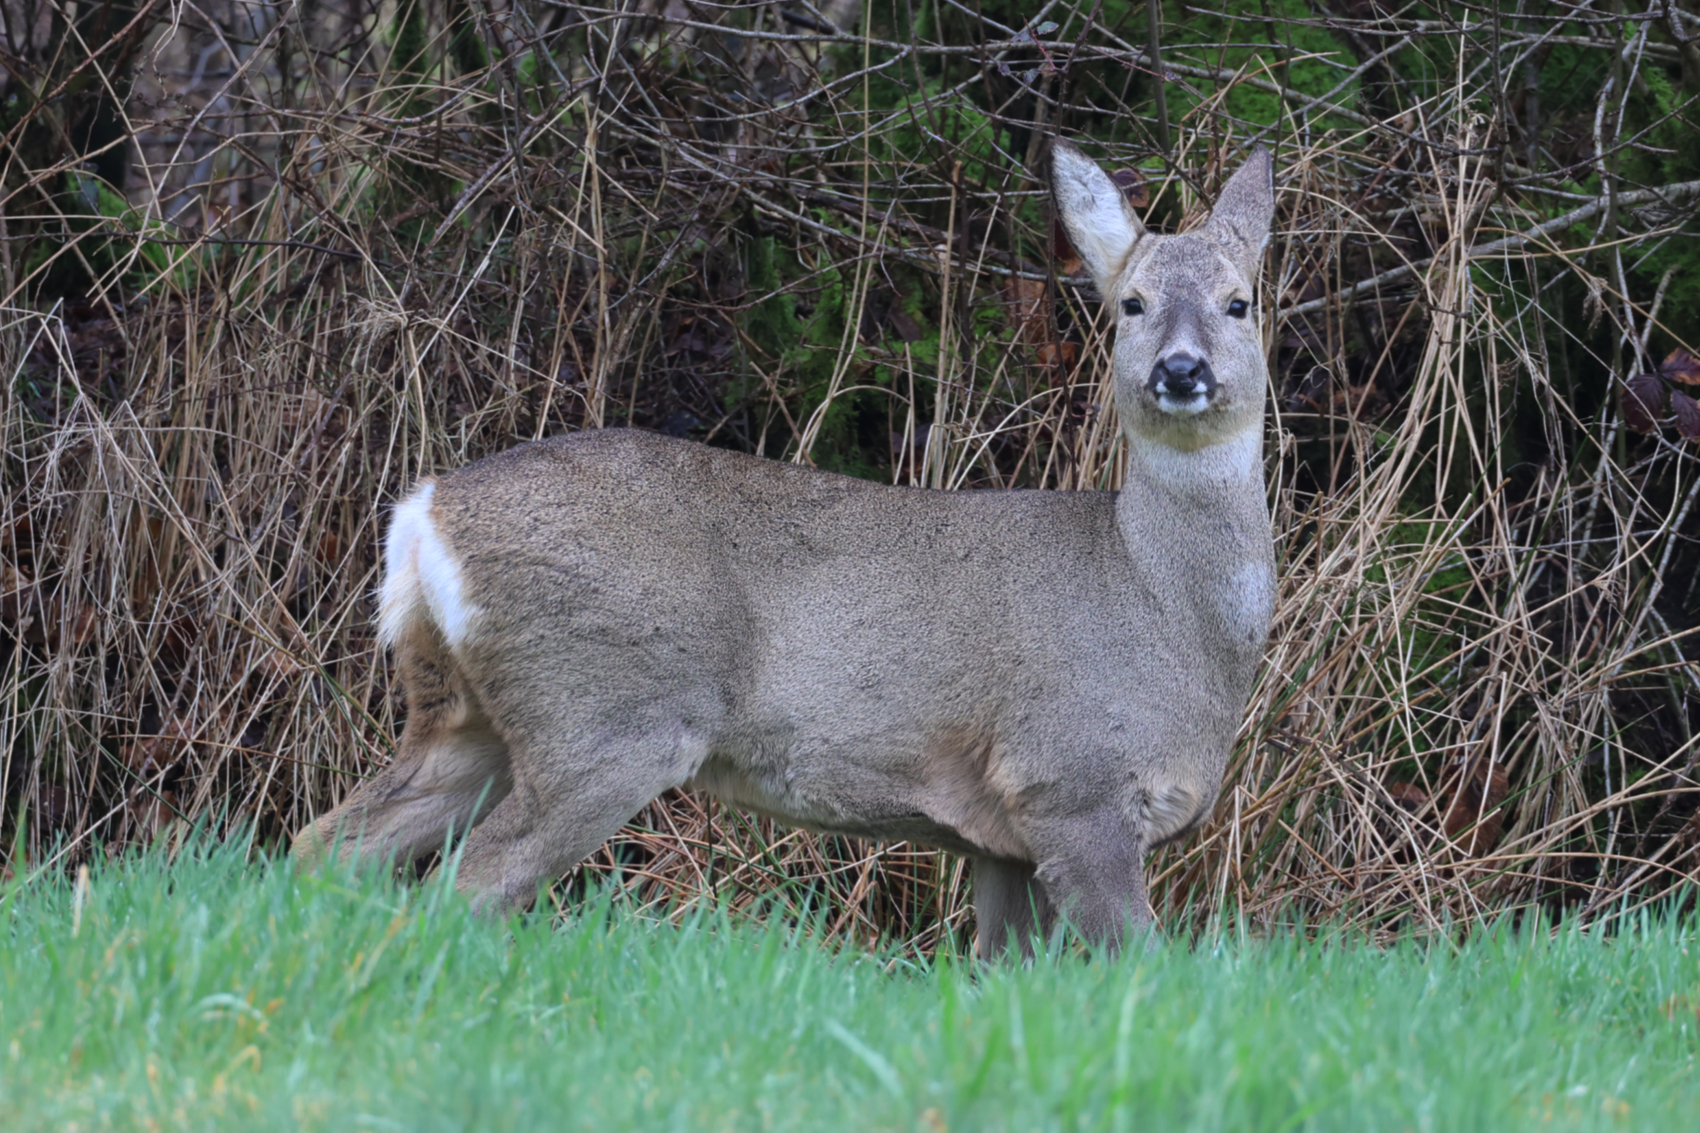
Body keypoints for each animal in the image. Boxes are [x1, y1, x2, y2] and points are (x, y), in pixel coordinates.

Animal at [292, 140, 1278, 959]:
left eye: (1241, 302)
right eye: (1132, 303)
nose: (1181, 370)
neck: (1159, 606)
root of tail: (424, 512)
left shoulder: (1002, 833)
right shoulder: (1070, 782)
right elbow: (1138, 965)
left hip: (463, 711)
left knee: (328, 843)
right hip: (603, 713)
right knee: (467, 884)